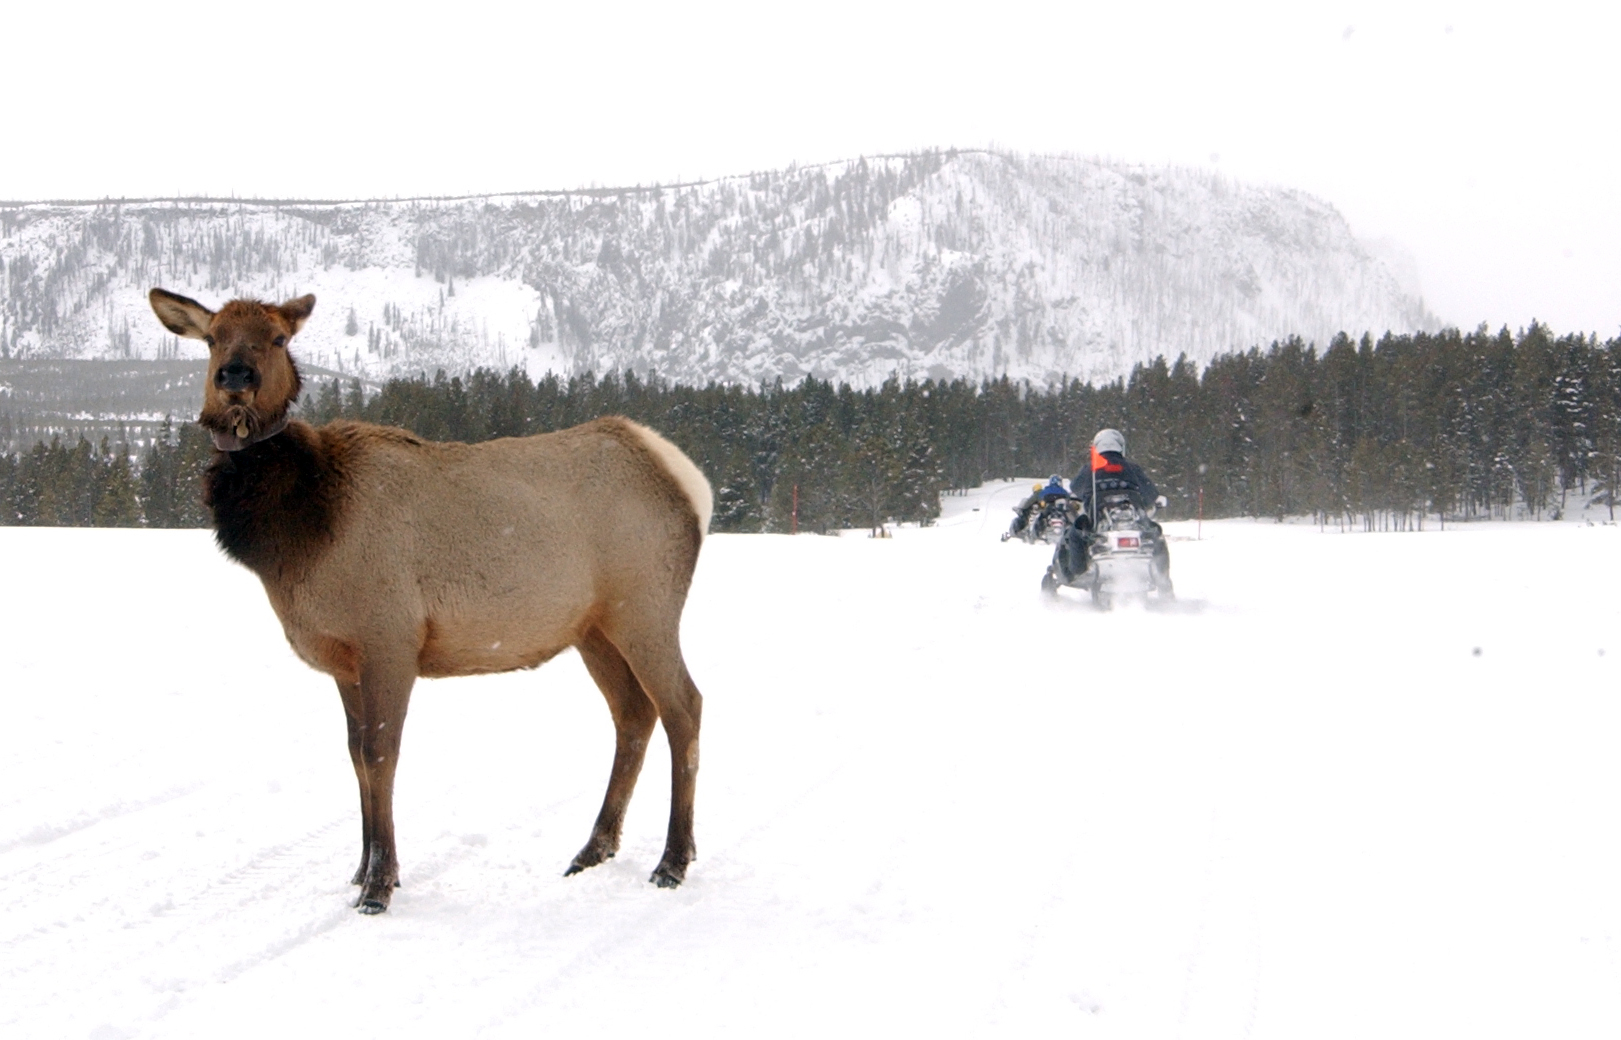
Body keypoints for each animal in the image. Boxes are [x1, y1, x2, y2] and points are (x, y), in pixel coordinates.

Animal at [147, 288, 711, 914]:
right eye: (213, 336)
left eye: (277, 337)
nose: (235, 377)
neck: (299, 539)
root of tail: (689, 480)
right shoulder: (344, 658)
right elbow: (355, 755)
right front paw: (361, 870)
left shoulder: (389, 636)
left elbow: (380, 754)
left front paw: (379, 885)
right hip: (593, 629)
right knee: (633, 714)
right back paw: (594, 848)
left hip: (646, 608)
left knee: (684, 707)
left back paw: (673, 860)